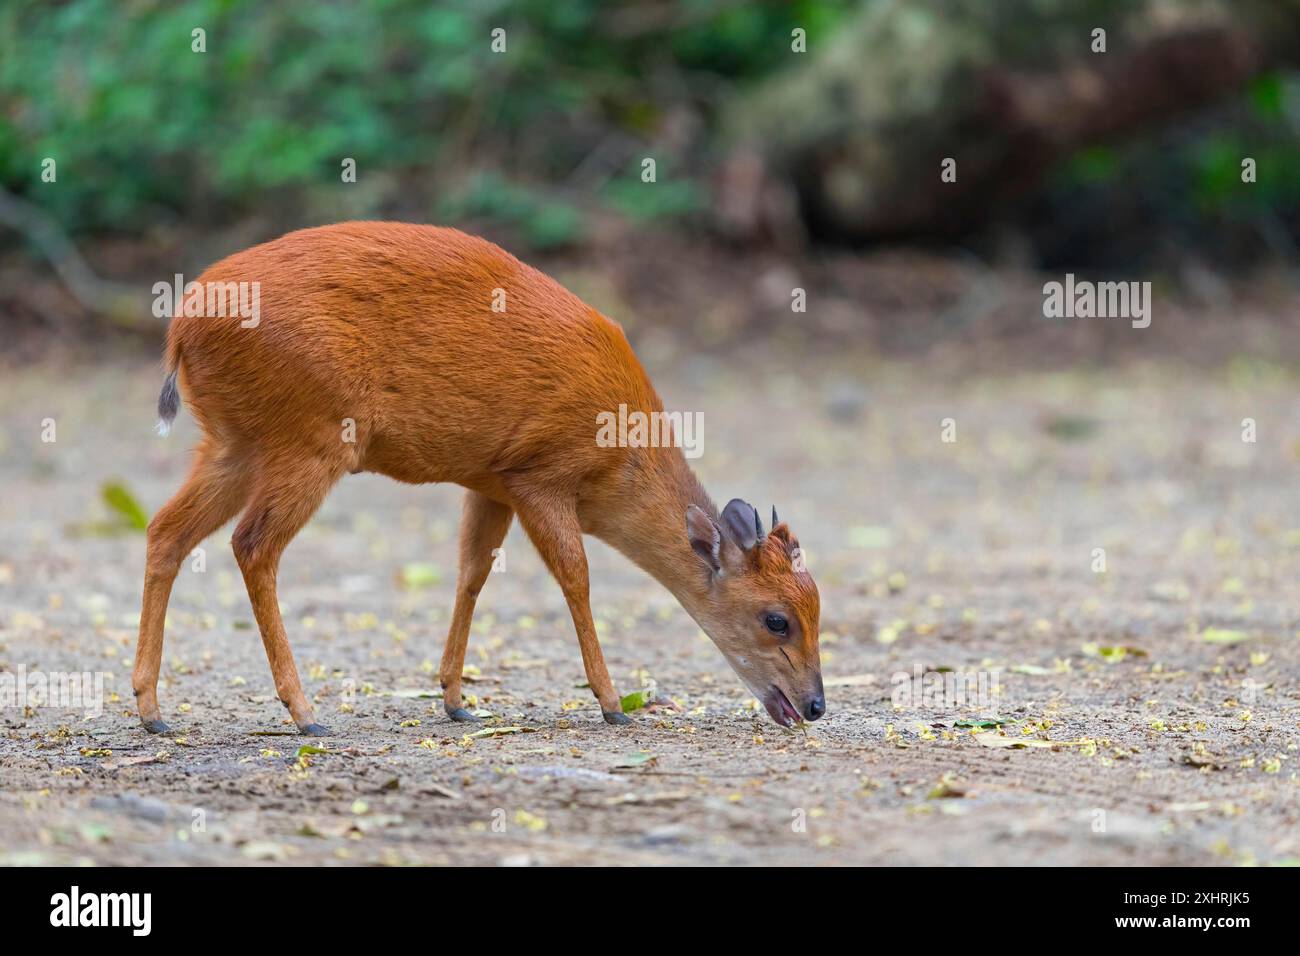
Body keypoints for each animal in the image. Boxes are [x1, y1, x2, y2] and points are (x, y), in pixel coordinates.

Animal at [134, 222, 823, 735]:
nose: (816, 705)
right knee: (252, 545)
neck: (618, 459)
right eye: (777, 619)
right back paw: (305, 714)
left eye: (817, 607)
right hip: (312, 438)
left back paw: (151, 709)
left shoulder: (491, 482)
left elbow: (471, 573)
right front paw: (610, 703)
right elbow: (576, 577)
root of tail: (182, 326)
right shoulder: (541, 473)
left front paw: (454, 699)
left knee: (165, 530)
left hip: (234, 442)